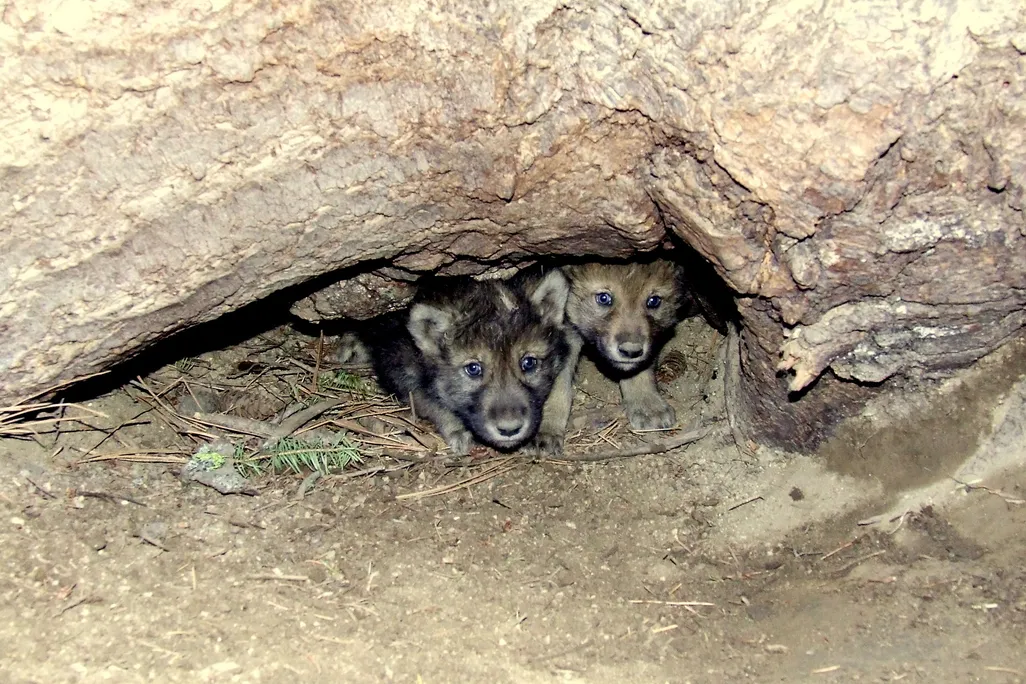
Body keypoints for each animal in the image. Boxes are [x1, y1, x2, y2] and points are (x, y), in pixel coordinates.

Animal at [345, 270, 571, 455]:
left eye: (529, 363)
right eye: (473, 369)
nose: (510, 429)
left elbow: (560, 388)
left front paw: (548, 431)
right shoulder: (398, 367)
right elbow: (429, 400)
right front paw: (458, 429)